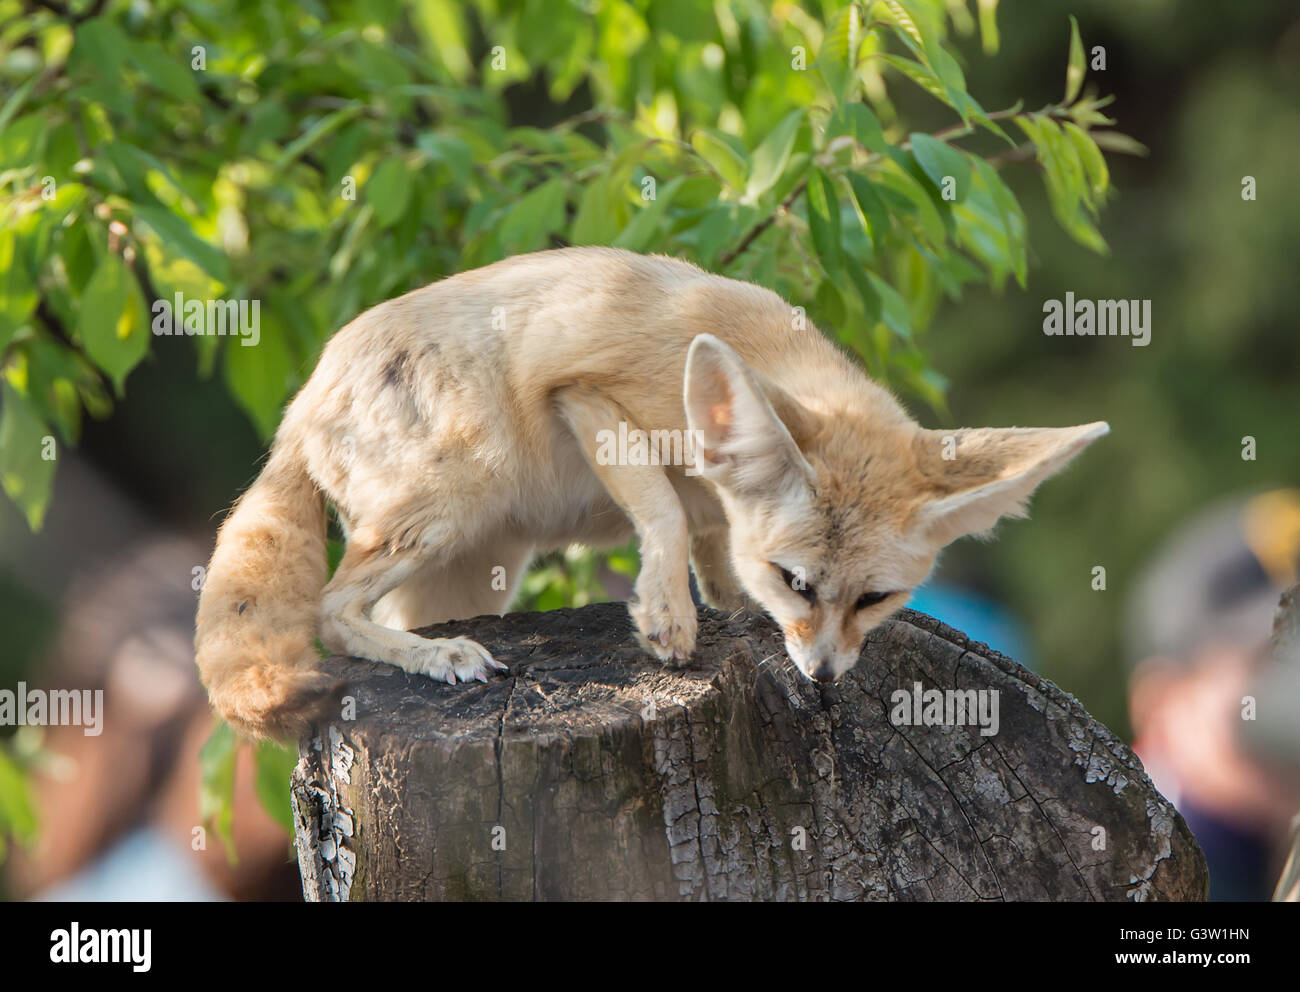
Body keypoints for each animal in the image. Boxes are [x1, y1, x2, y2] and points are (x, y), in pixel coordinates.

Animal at [195, 246, 1108, 739]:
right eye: (797, 582)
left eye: (875, 599)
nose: (821, 679)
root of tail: (300, 403)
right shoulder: (583, 395)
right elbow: (662, 510)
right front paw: (666, 618)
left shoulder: (717, 511)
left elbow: (714, 558)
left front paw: (715, 604)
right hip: (455, 497)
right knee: (330, 614)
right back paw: (437, 657)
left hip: (475, 567)